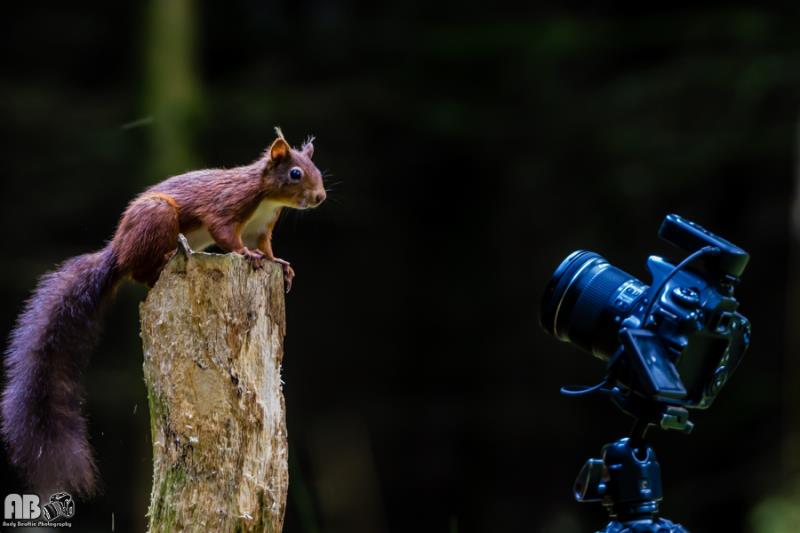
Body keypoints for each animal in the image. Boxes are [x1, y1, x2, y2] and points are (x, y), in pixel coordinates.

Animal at [1, 129, 326, 497]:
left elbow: (267, 248)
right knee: (144, 272)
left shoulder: (261, 227)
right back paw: (167, 256)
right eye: (295, 173)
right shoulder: (226, 205)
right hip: (157, 217)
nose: (319, 196)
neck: (267, 199)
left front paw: (280, 265)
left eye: (317, 169)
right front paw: (246, 255)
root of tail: (116, 254)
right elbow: (226, 234)